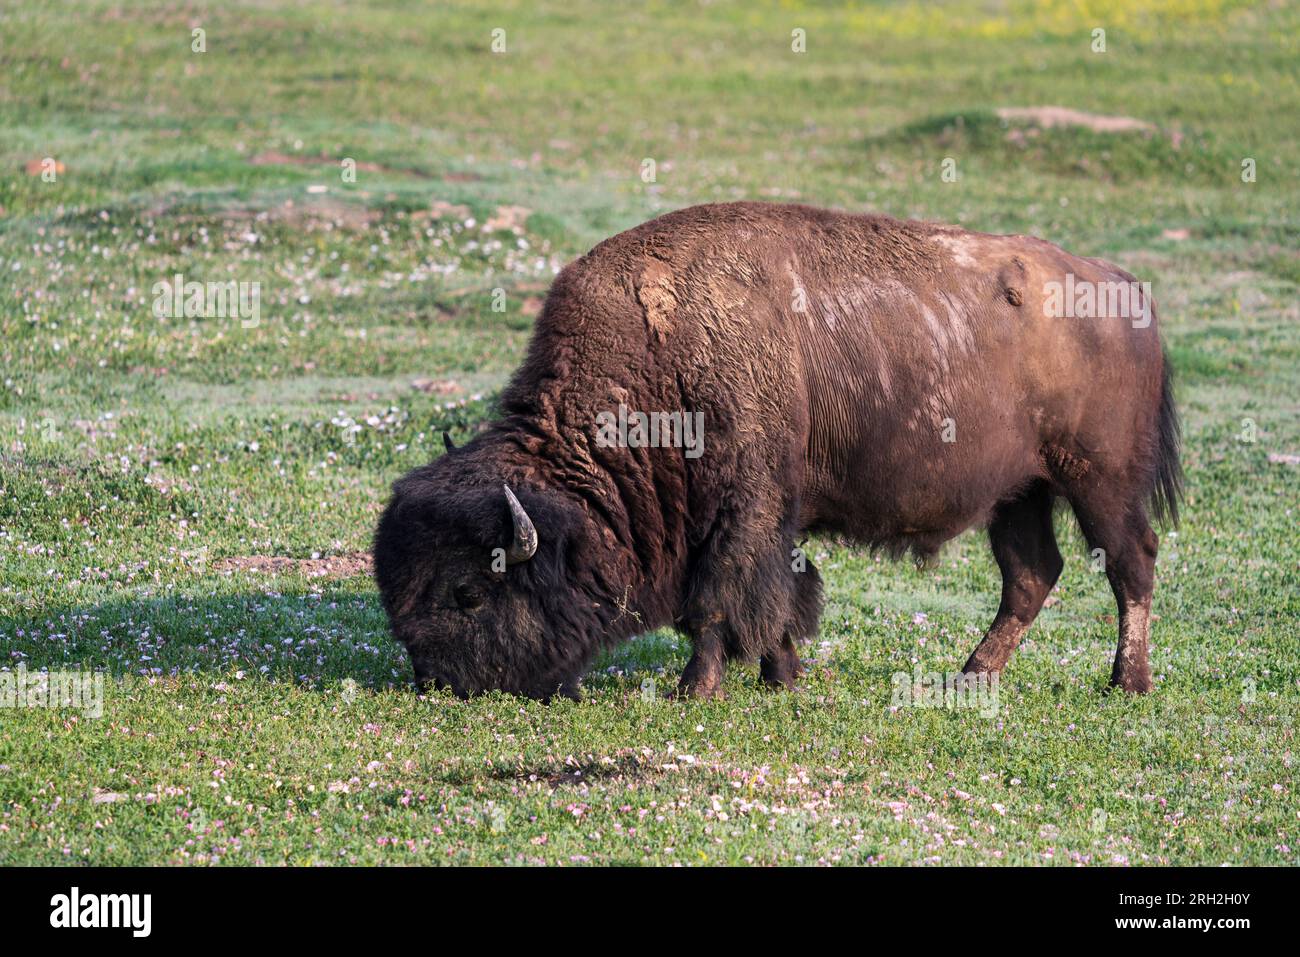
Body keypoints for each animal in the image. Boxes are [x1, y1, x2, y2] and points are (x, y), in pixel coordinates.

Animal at [374, 202, 1180, 699]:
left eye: (469, 592)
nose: (440, 683)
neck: (658, 366)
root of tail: (1122, 287)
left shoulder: (742, 509)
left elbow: (717, 598)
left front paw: (694, 689)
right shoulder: (772, 517)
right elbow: (782, 595)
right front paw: (782, 675)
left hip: (1098, 480)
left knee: (1130, 562)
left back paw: (1125, 683)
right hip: (1019, 492)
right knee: (1031, 574)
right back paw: (972, 676)